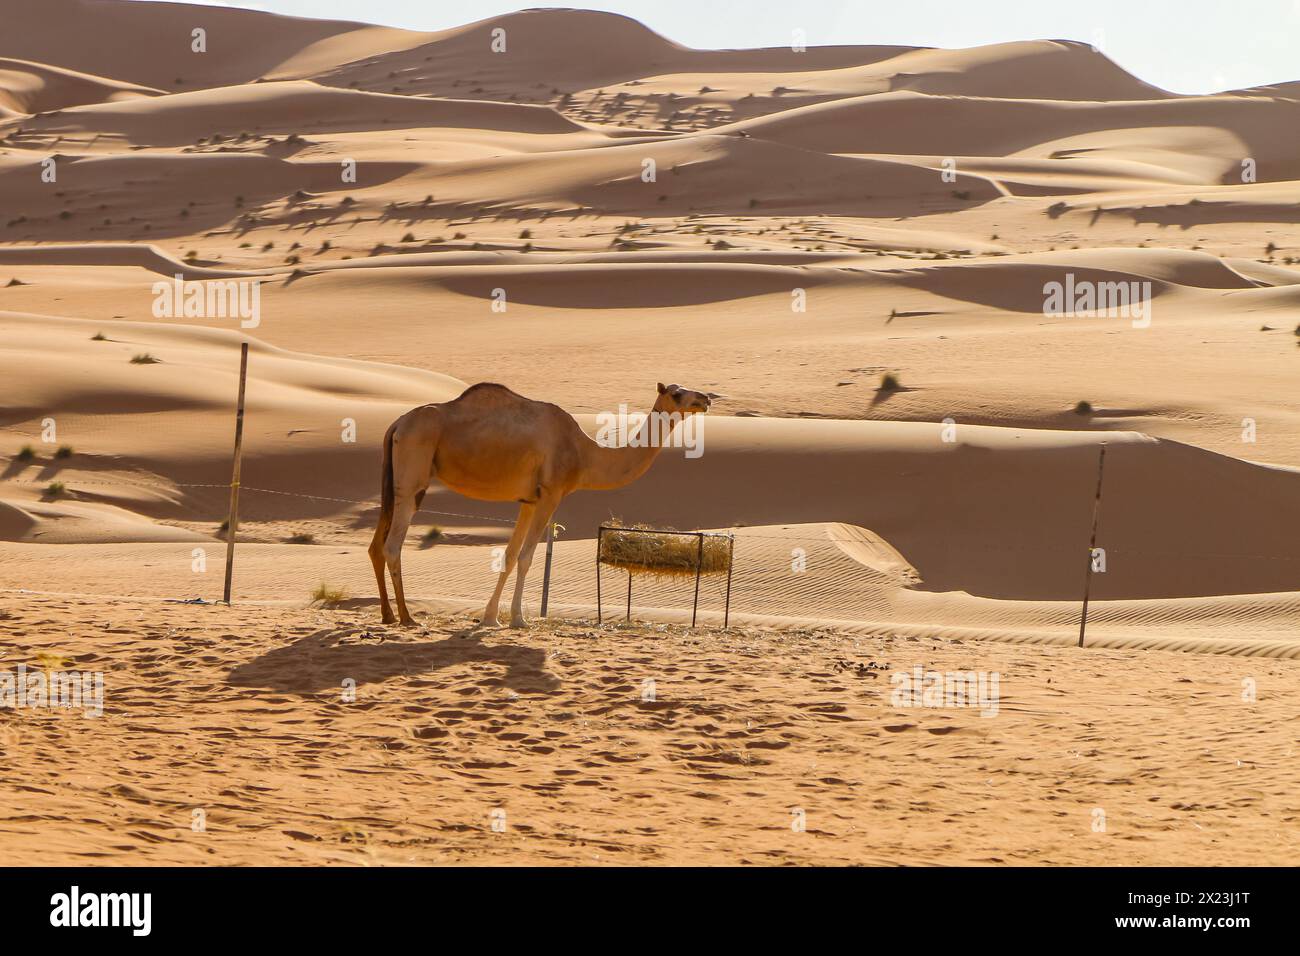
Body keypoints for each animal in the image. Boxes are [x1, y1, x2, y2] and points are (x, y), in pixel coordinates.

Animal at [369, 381, 712, 628]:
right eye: (677, 394)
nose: (705, 399)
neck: (585, 454)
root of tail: (397, 424)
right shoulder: (550, 494)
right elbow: (526, 557)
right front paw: (519, 619)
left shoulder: (529, 500)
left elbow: (508, 556)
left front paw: (490, 618)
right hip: (412, 478)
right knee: (392, 545)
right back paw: (406, 617)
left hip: (393, 480)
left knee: (376, 545)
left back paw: (388, 614)